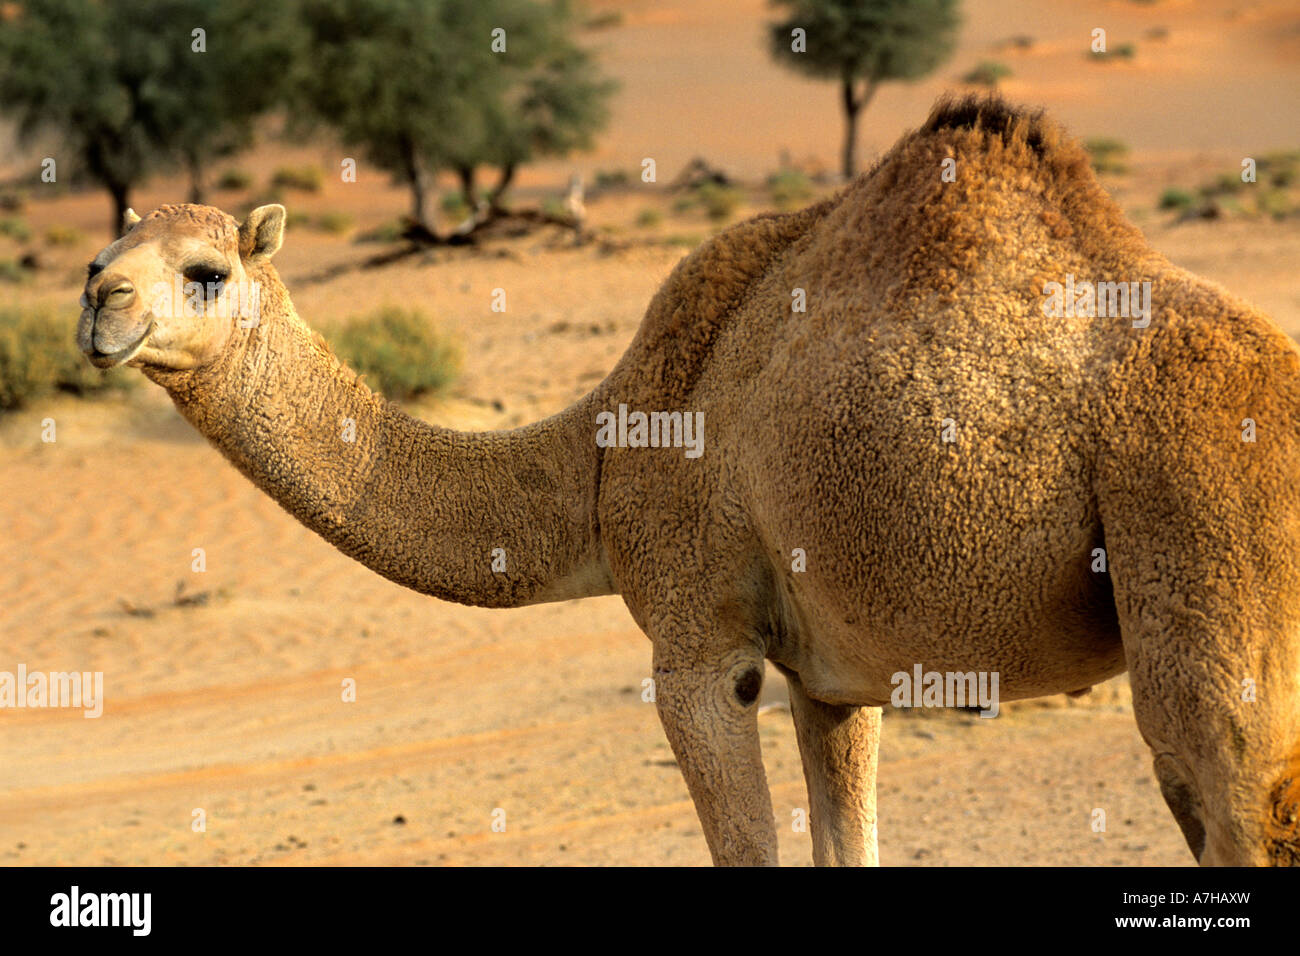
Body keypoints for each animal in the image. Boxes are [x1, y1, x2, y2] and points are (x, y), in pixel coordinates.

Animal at [77, 94, 1300, 866]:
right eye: (99, 258)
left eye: (207, 270)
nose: (100, 308)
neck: (599, 453)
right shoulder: (834, 674)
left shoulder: (701, 644)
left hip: (1200, 545)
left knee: (1231, 789)